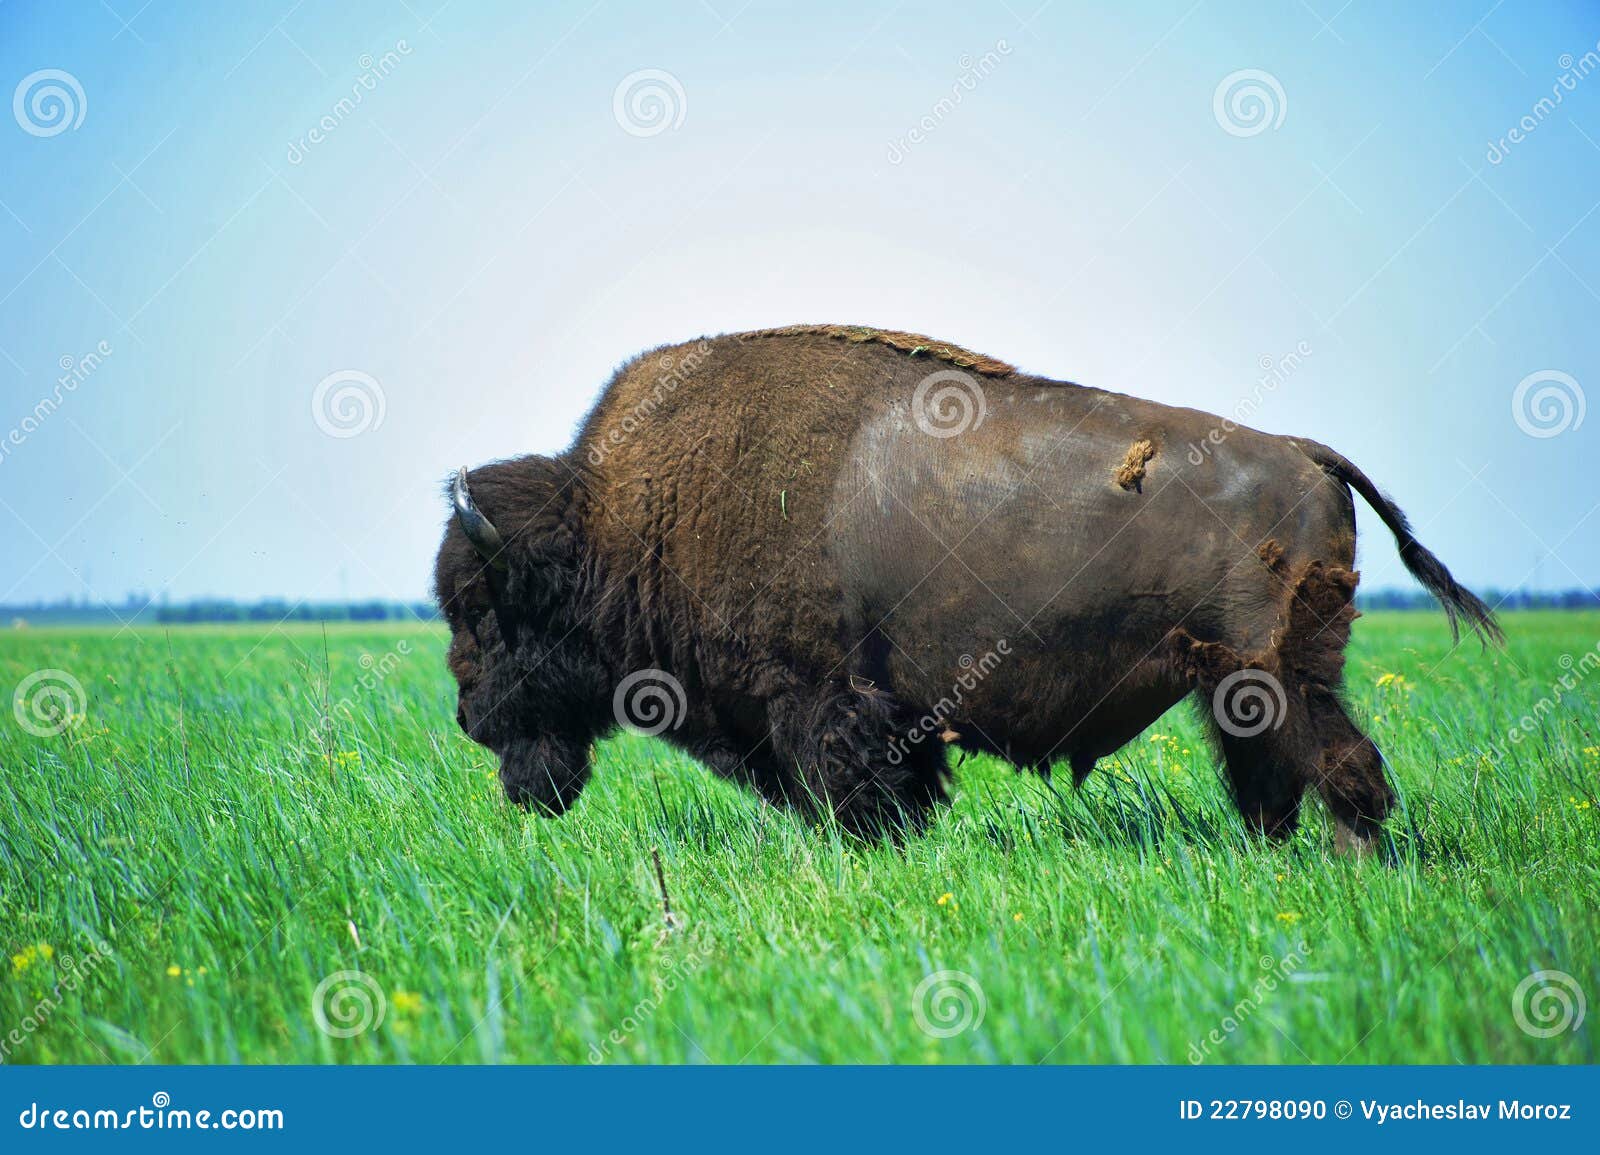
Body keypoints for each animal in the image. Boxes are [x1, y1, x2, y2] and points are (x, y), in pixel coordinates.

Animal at [434, 324, 1499, 852]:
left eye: (484, 608)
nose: (468, 716)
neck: (620, 519)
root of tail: (1305, 452)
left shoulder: (820, 698)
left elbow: (855, 790)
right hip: (1236, 685)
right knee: (1277, 775)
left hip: (1276, 670)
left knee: (1344, 765)